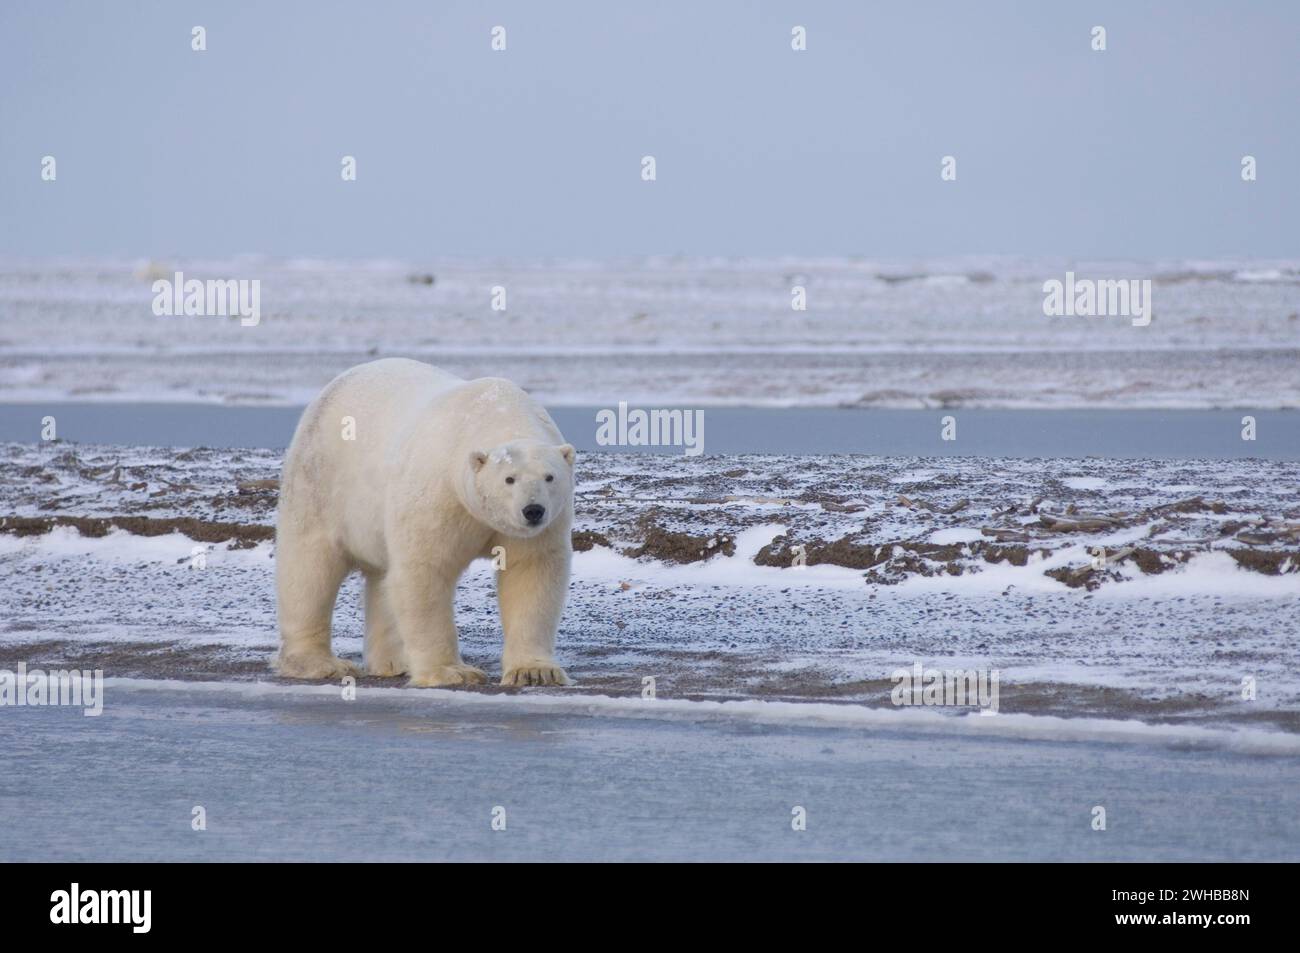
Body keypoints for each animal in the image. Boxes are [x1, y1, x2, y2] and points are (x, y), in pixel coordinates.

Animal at [273, 358, 575, 688]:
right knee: (310, 569)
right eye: (509, 479)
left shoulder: (543, 525)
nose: (533, 510)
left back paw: (395, 662)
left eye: (549, 477)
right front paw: (451, 672)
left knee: (382, 579)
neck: (497, 413)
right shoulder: (440, 494)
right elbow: (424, 571)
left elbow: (531, 571)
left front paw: (534, 672)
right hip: (319, 480)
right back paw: (320, 664)